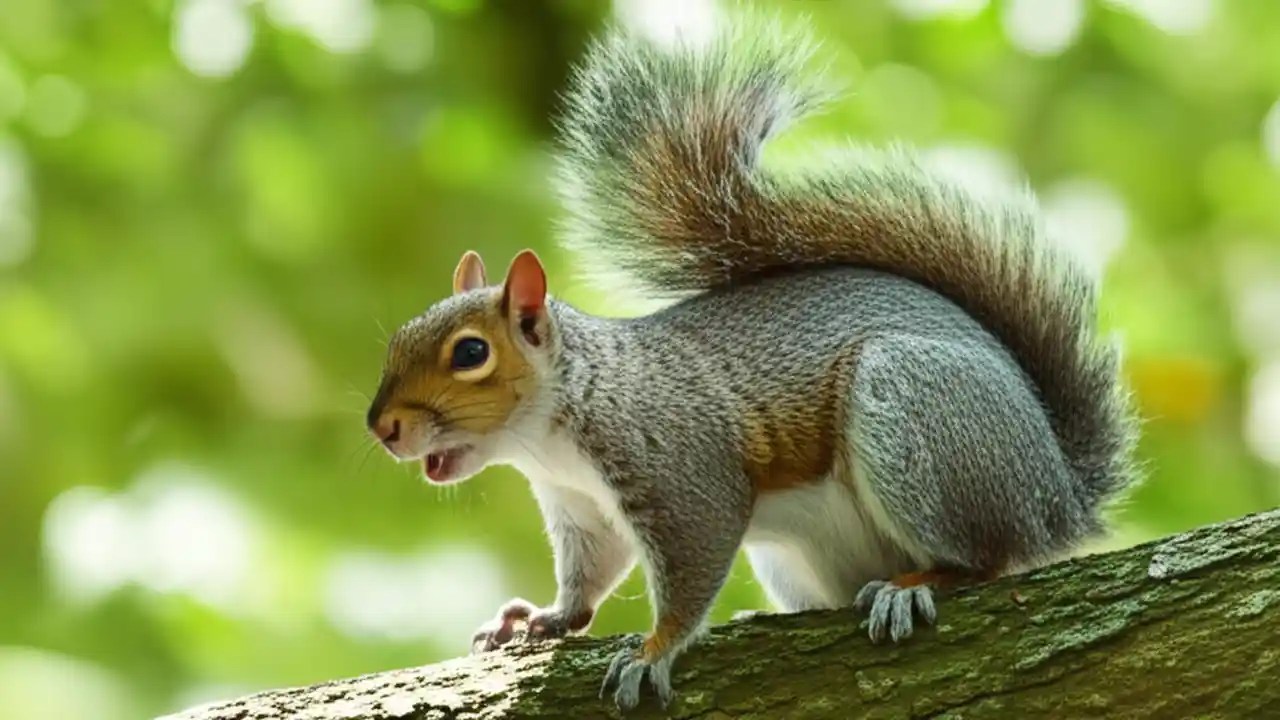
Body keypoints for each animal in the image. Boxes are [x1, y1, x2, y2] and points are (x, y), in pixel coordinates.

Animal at [366, 19, 1139, 712]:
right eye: (396, 339)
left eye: (471, 353)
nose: (382, 427)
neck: (554, 430)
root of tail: (1057, 494)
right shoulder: (581, 509)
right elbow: (588, 581)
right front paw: (544, 618)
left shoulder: (681, 471)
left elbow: (692, 565)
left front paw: (653, 651)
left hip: (914, 415)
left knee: (987, 558)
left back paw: (916, 585)